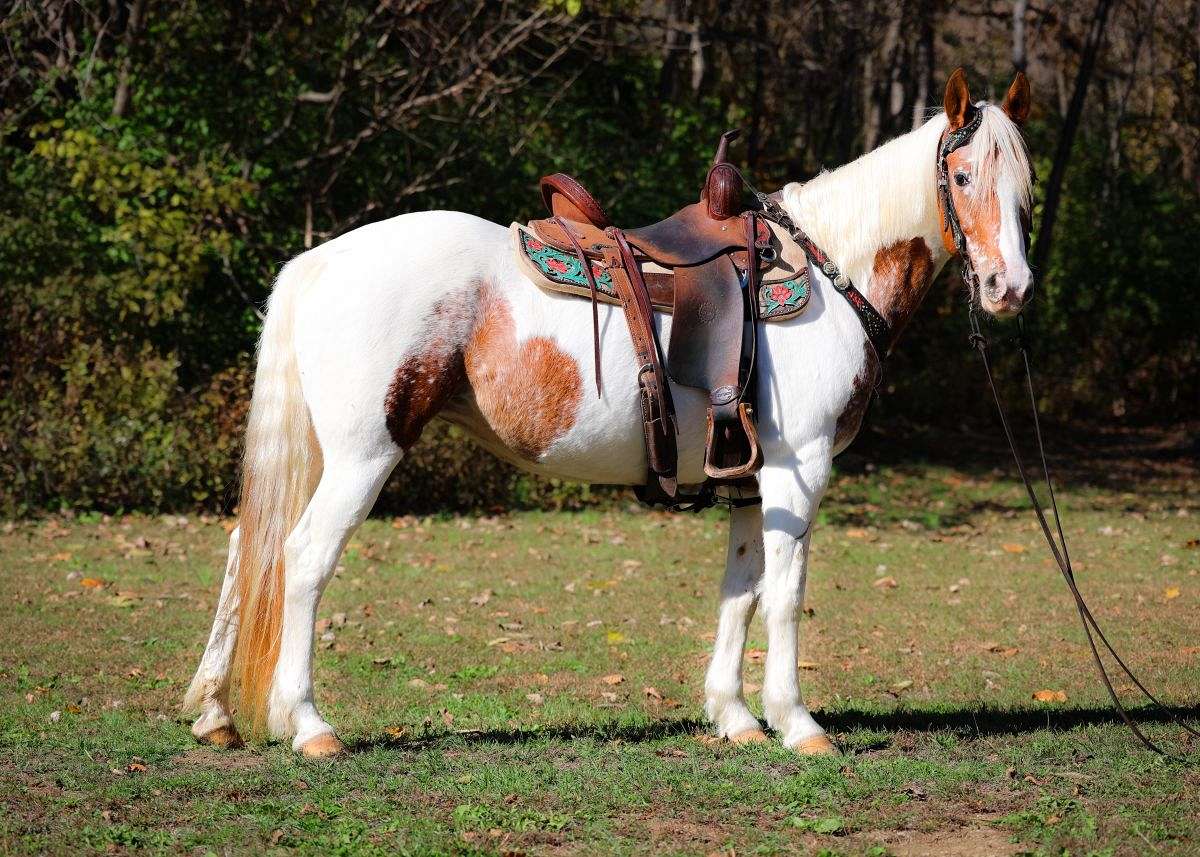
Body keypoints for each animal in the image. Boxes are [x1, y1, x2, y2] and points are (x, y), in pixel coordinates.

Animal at [184, 69, 1034, 758]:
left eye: (1025, 189)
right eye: (962, 175)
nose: (1010, 288)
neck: (829, 272)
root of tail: (321, 258)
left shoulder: (748, 477)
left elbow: (743, 588)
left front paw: (734, 715)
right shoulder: (801, 467)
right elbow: (786, 593)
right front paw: (797, 722)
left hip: (321, 453)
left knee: (246, 549)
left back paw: (216, 713)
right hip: (364, 455)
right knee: (302, 558)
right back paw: (308, 723)